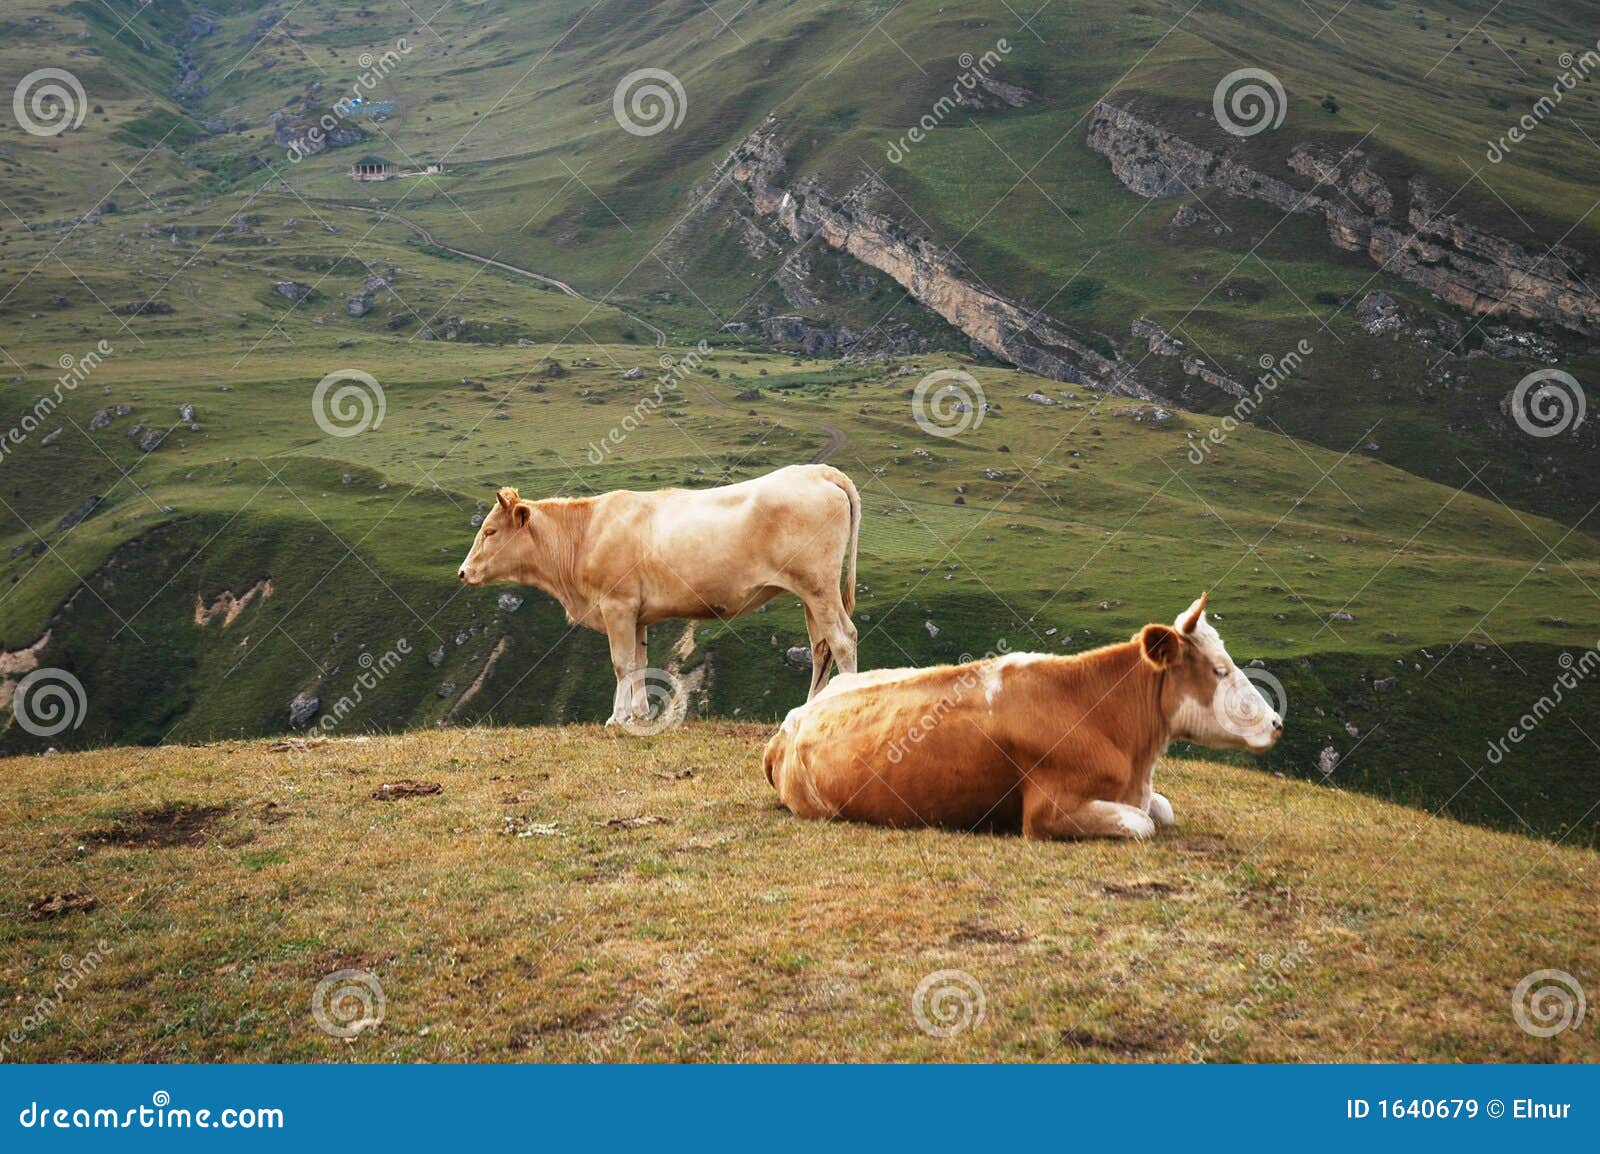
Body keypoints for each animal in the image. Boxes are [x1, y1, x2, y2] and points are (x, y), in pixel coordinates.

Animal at [458, 463, 860, 728]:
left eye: (490, 531)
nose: (463, 572)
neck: (586, 534)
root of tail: (820, 471)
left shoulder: (617, 604)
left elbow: (621, 663)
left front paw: (618, 717)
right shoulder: (638, 614)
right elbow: (639, 662)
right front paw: (640, 714)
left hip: (819, 586)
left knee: (842, 640)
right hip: (812, 594)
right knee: (822, 646)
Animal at [762, 594, 1282, 840]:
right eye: (1219, 670)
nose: (1277, 723)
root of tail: (794, 719)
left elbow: (1163, 811)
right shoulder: (1049, 811)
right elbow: (1142, 824)